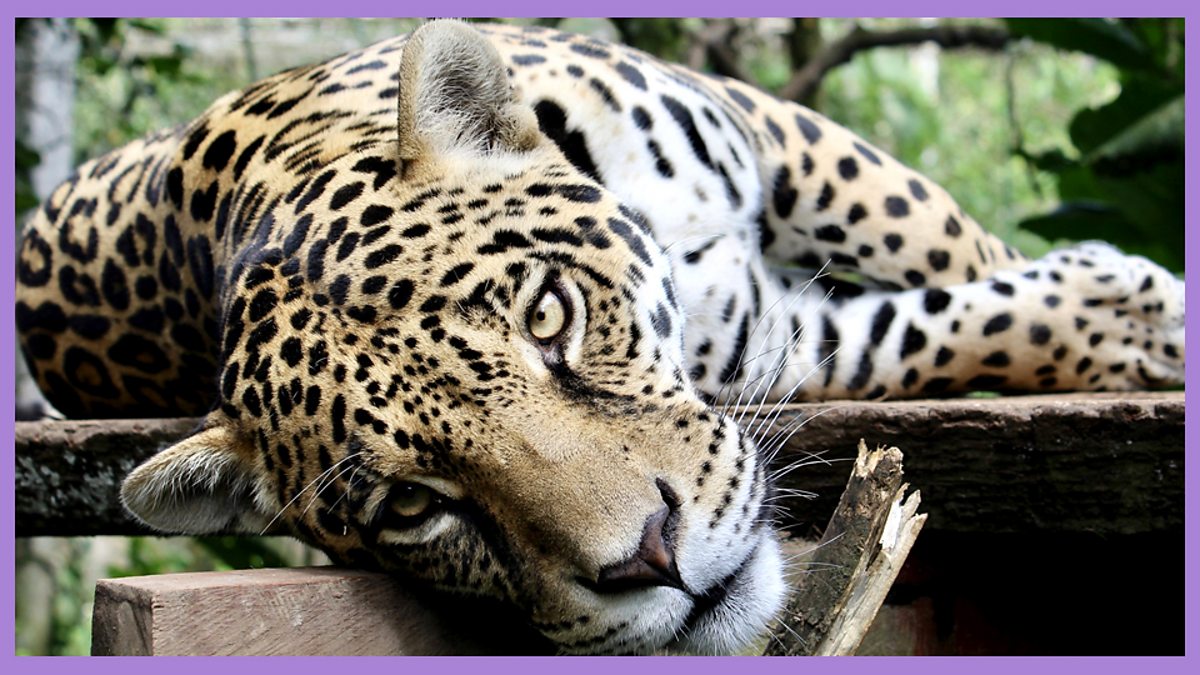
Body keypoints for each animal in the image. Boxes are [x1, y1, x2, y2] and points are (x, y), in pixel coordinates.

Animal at [14, 20, 1185, 654]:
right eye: (412, 506)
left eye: (548, 315)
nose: (652, 561)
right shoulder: (769, 332)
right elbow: (929, 330)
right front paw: (1128, 322)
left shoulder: (778, 128)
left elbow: (931, 230)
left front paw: (1146, 310)